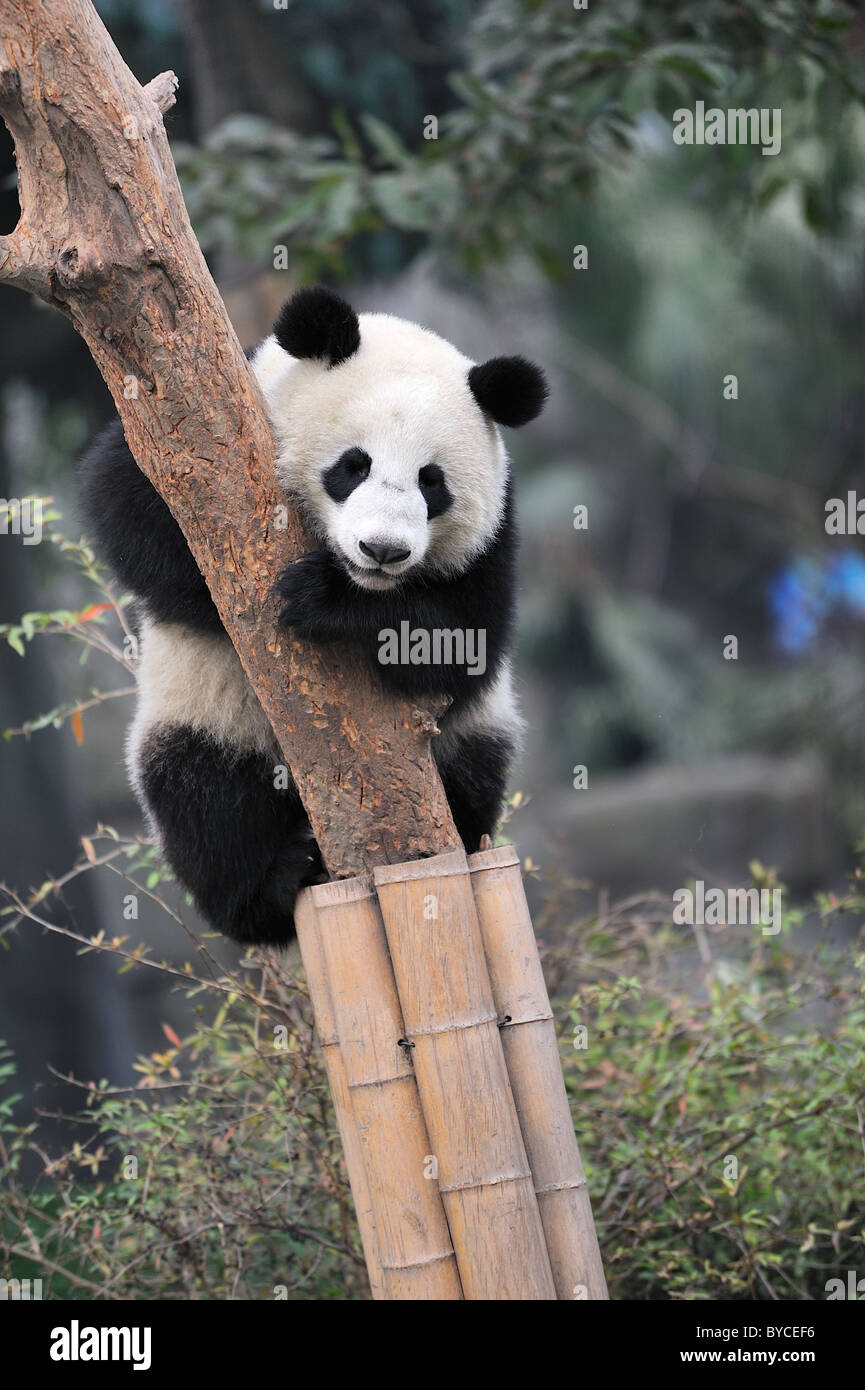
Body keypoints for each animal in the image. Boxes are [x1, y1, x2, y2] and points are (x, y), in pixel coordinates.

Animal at [78, 286, 547, 947]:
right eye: (354, 465)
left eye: (432, 483)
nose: (382, 550)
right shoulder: (193, 432)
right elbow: (129, 514)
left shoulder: (495, 540)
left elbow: (465, 646)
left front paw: (328, 601)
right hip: (205, 717)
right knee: (205, 799)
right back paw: (274, 884)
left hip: (473, 738)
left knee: (473, 774)